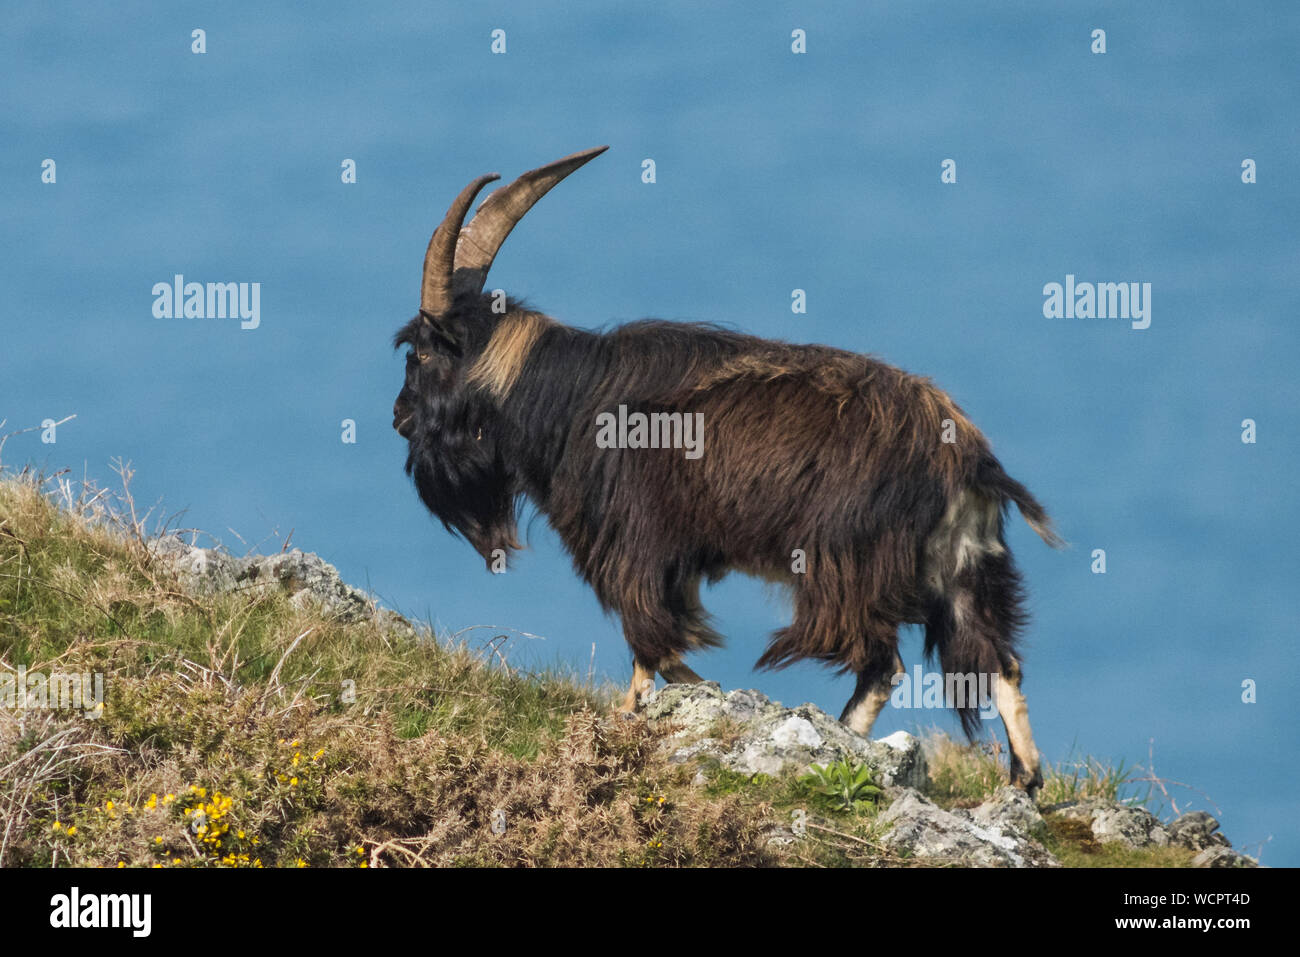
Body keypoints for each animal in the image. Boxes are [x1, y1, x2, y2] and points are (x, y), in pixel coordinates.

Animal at [392, 147, 1062, 793]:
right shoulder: (680, 558)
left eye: (419, 353)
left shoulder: (639, 544)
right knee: (998, 661)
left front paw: (633, 715)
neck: (570, 400)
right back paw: (1024, 780)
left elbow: (649, 641)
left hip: (846, 565)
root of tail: (965, 459)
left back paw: (847, 741)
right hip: (963, 570)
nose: (399, 416)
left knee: (881, 664)